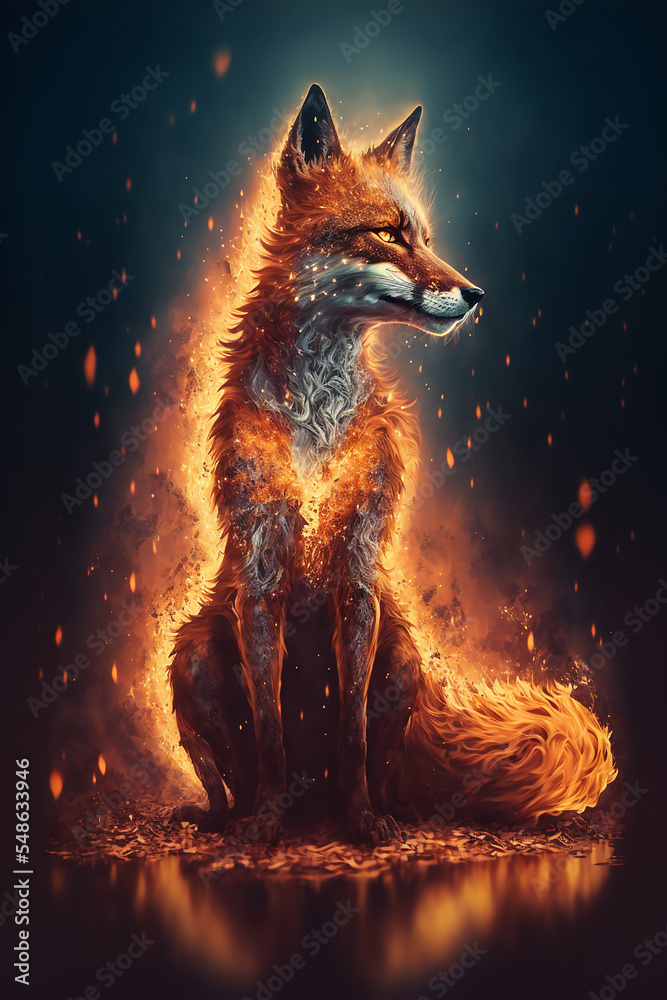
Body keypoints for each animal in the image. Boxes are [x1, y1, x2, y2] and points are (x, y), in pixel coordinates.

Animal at [169, 84, 616, 844]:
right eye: (387, 233)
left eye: (427, 238)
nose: (475, 294)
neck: (315, 419)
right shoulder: (260, 577)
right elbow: (269, 731)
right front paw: (266, 822)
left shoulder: (357, 575)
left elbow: (350, 734)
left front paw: (362, 824)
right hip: (191, 652)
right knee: (228, 773)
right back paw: (229, 815)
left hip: (401, 657)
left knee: (384, 766)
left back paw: (378, 811)